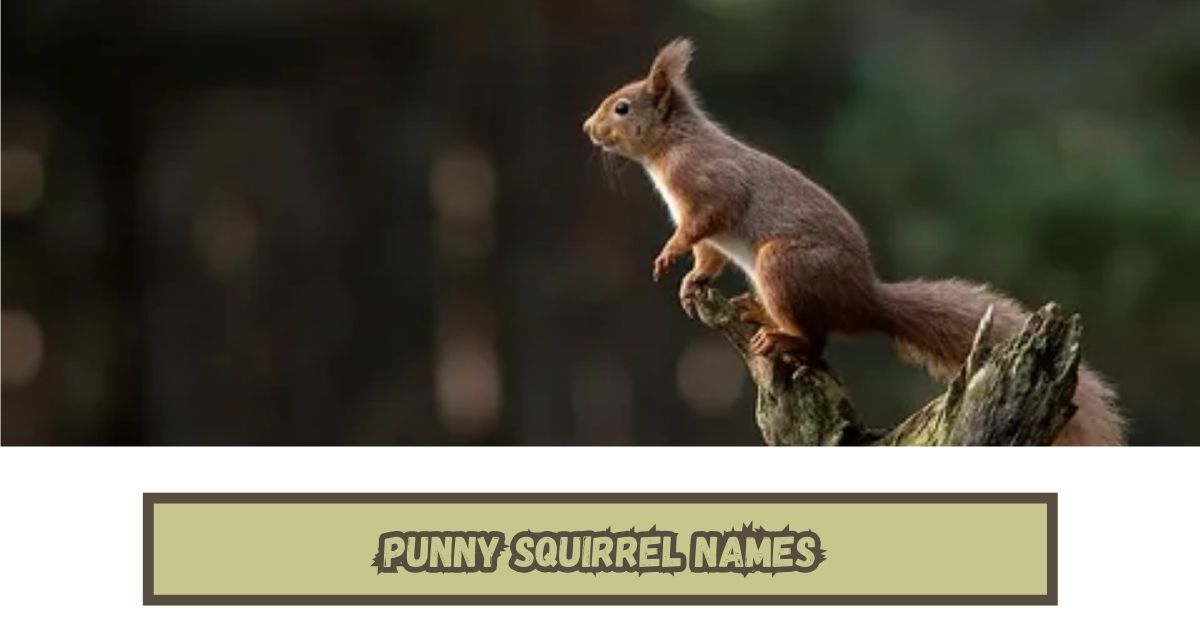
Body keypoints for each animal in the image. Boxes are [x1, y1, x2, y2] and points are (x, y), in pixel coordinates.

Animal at [582, 38, 1125, 445]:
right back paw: (757, 312)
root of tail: (865, 299)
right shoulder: (706, 229)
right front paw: (691, 280)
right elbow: (708, 255)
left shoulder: (712, 189)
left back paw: (782, 336)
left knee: (817, 341)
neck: (671, 147)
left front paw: (668, 256)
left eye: (622, 108)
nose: (588, 128)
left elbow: (707, 223)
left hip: (781, 264)